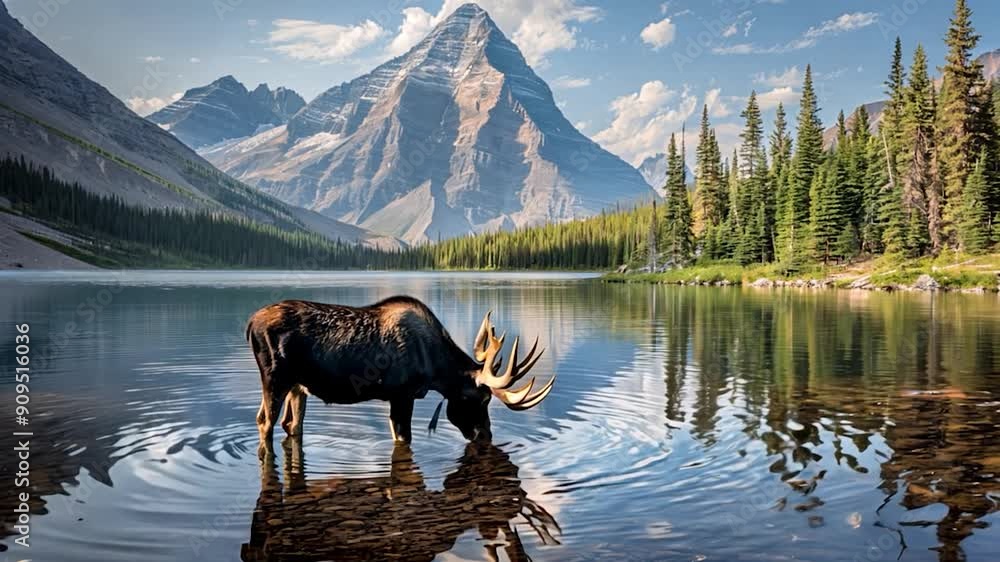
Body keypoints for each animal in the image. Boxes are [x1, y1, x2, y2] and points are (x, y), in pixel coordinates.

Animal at [246, 296, 555, 451]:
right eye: (480, 399)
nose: (485, 435)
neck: (436, 368)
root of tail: (249, 324)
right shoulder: (402, 394)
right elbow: (404, 438)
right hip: (274, 378)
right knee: (264, 421)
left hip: (298, 387)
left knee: (291, 424)